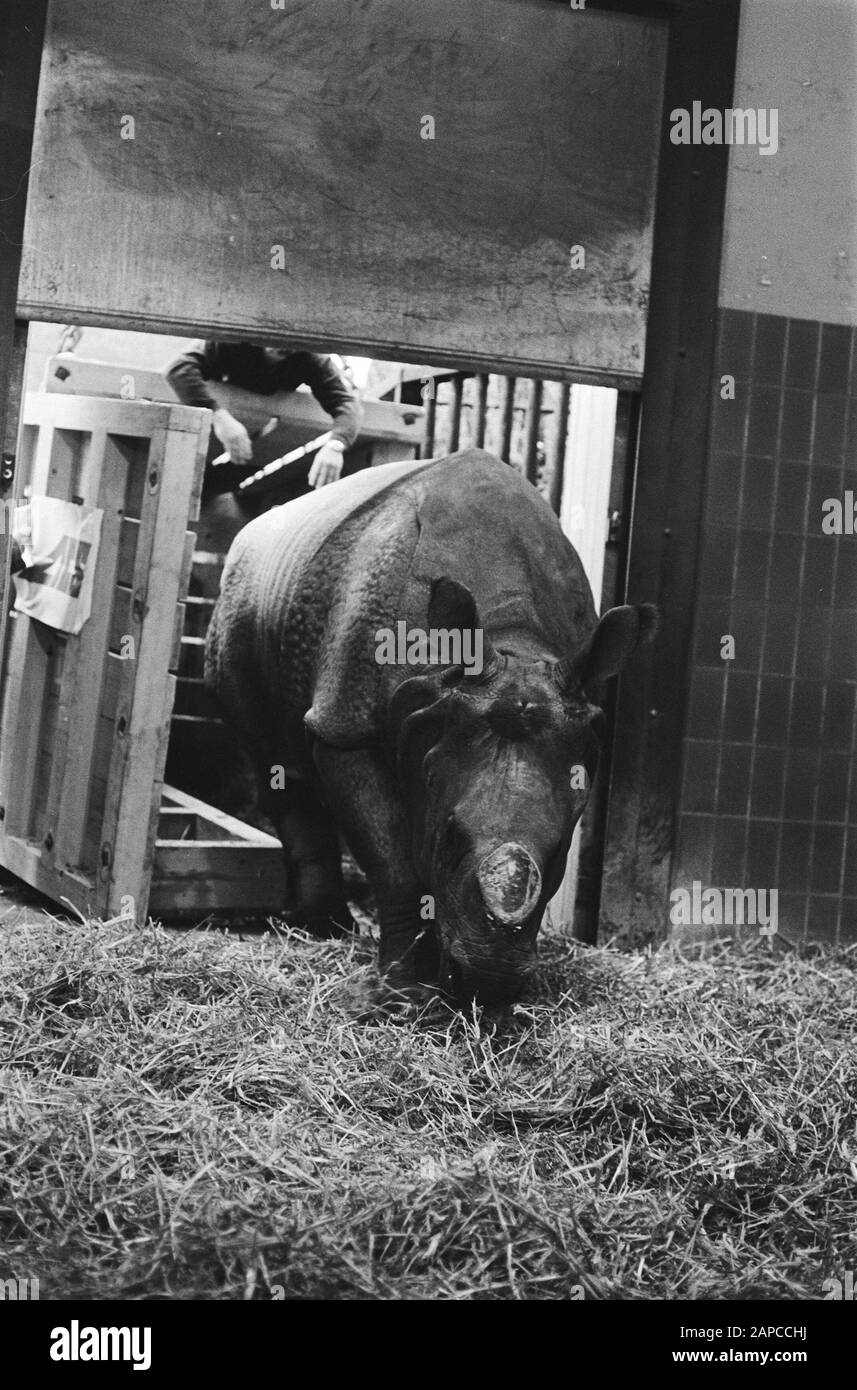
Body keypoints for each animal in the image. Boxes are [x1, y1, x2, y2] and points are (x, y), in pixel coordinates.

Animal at [205, 449, 656, 1005]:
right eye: (448, 835)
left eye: (560, 850)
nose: (490, 980)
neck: (513, 640)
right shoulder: (347, 723)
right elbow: (394, 861)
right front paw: (402, 994)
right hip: (239, 606)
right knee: (275, 761)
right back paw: (324, 928)